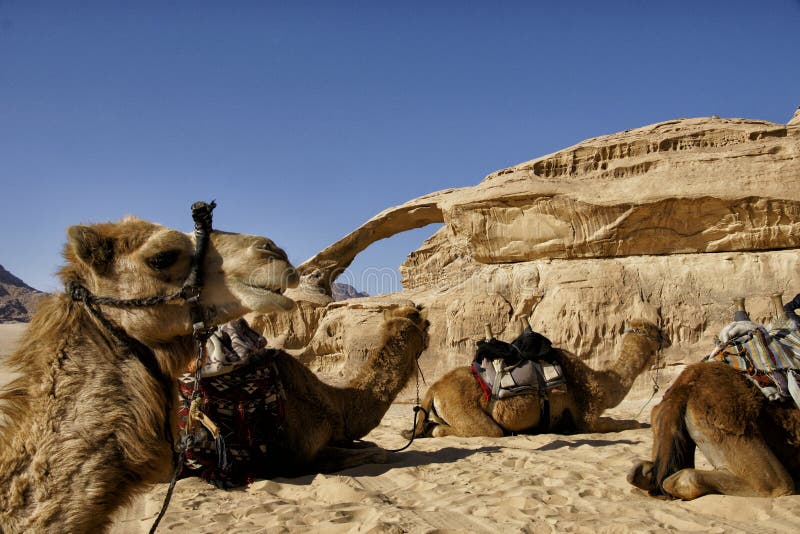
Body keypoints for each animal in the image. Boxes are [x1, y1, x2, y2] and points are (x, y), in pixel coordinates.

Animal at [403, 319, 664, 439]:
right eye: (655, 330)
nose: (667, 337)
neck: (598, 381)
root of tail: (434, 389)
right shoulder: (587, 416)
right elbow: (619, 423)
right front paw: (638, 424)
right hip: (468, 412)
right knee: (481, 431)